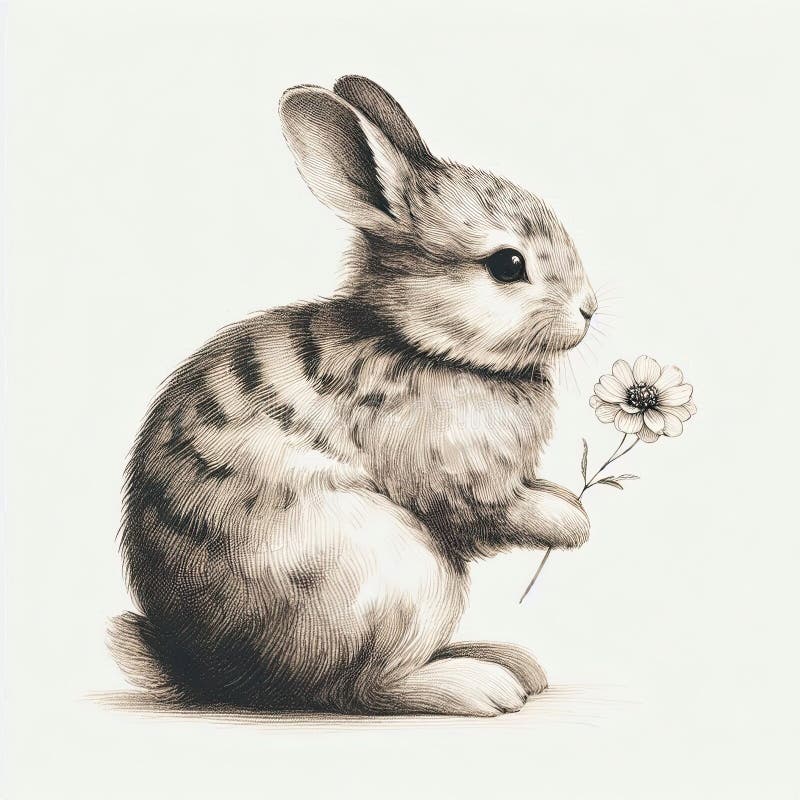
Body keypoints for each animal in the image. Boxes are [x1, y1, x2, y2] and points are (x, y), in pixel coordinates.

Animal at [109, 75, 597, 717]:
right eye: (508, 264)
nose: (590, 308)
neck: (423, 345)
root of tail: (221, 678)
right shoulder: (455, 480)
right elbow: (495, 513)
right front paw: (574, 524)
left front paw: (573, 509)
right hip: (396, 576)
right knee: (358, 688)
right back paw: (481, 688)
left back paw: (511, 664)